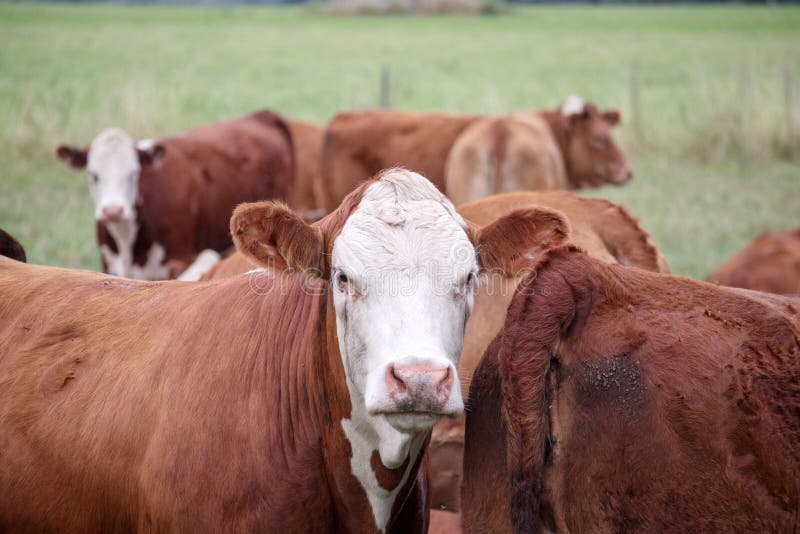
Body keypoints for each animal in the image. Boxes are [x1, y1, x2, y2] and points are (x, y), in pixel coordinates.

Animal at [56, 110, 294, 280]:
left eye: (134, 173)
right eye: (92, 174)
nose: (113, 210)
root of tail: (261, 115)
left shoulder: (181, 260)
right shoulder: (109, 265)